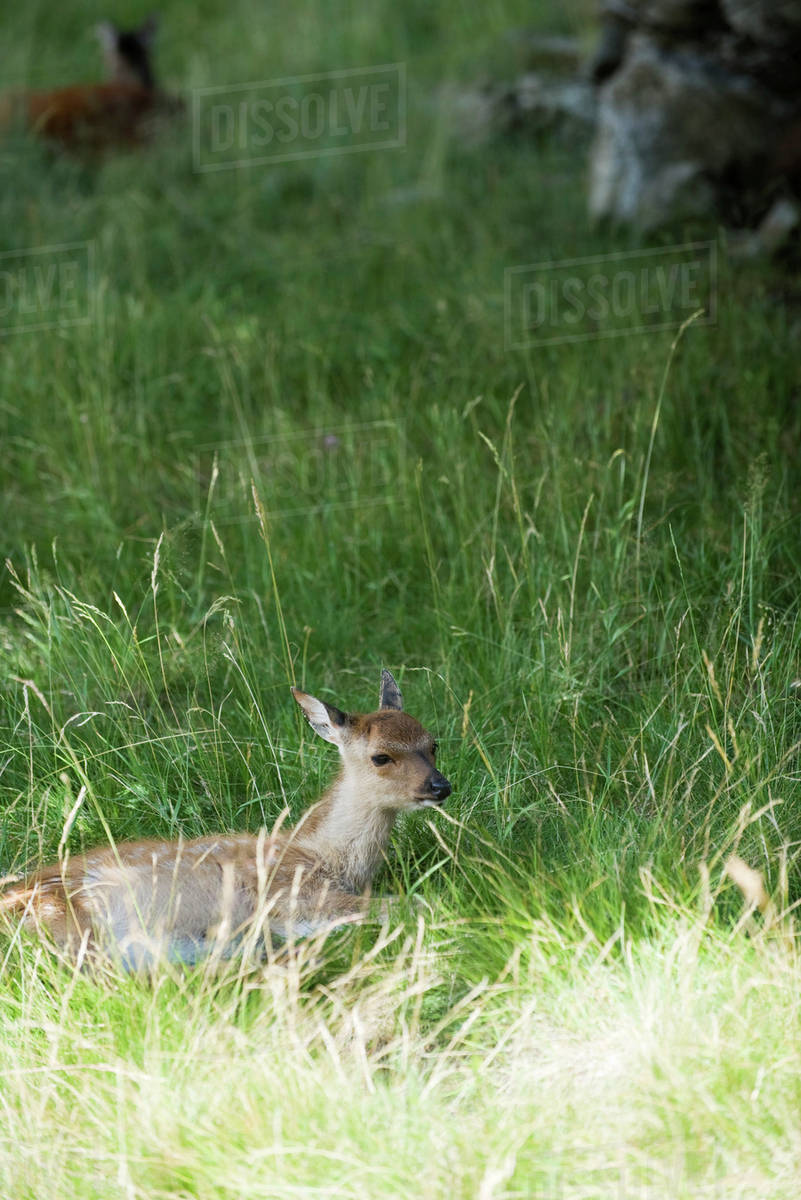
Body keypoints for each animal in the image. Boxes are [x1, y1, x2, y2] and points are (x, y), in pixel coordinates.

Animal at [0, 670, 451, 971]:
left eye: (433, 743)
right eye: (381, 757)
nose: (440, 786)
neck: (323, 853)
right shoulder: (296, 895)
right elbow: (409, 904)